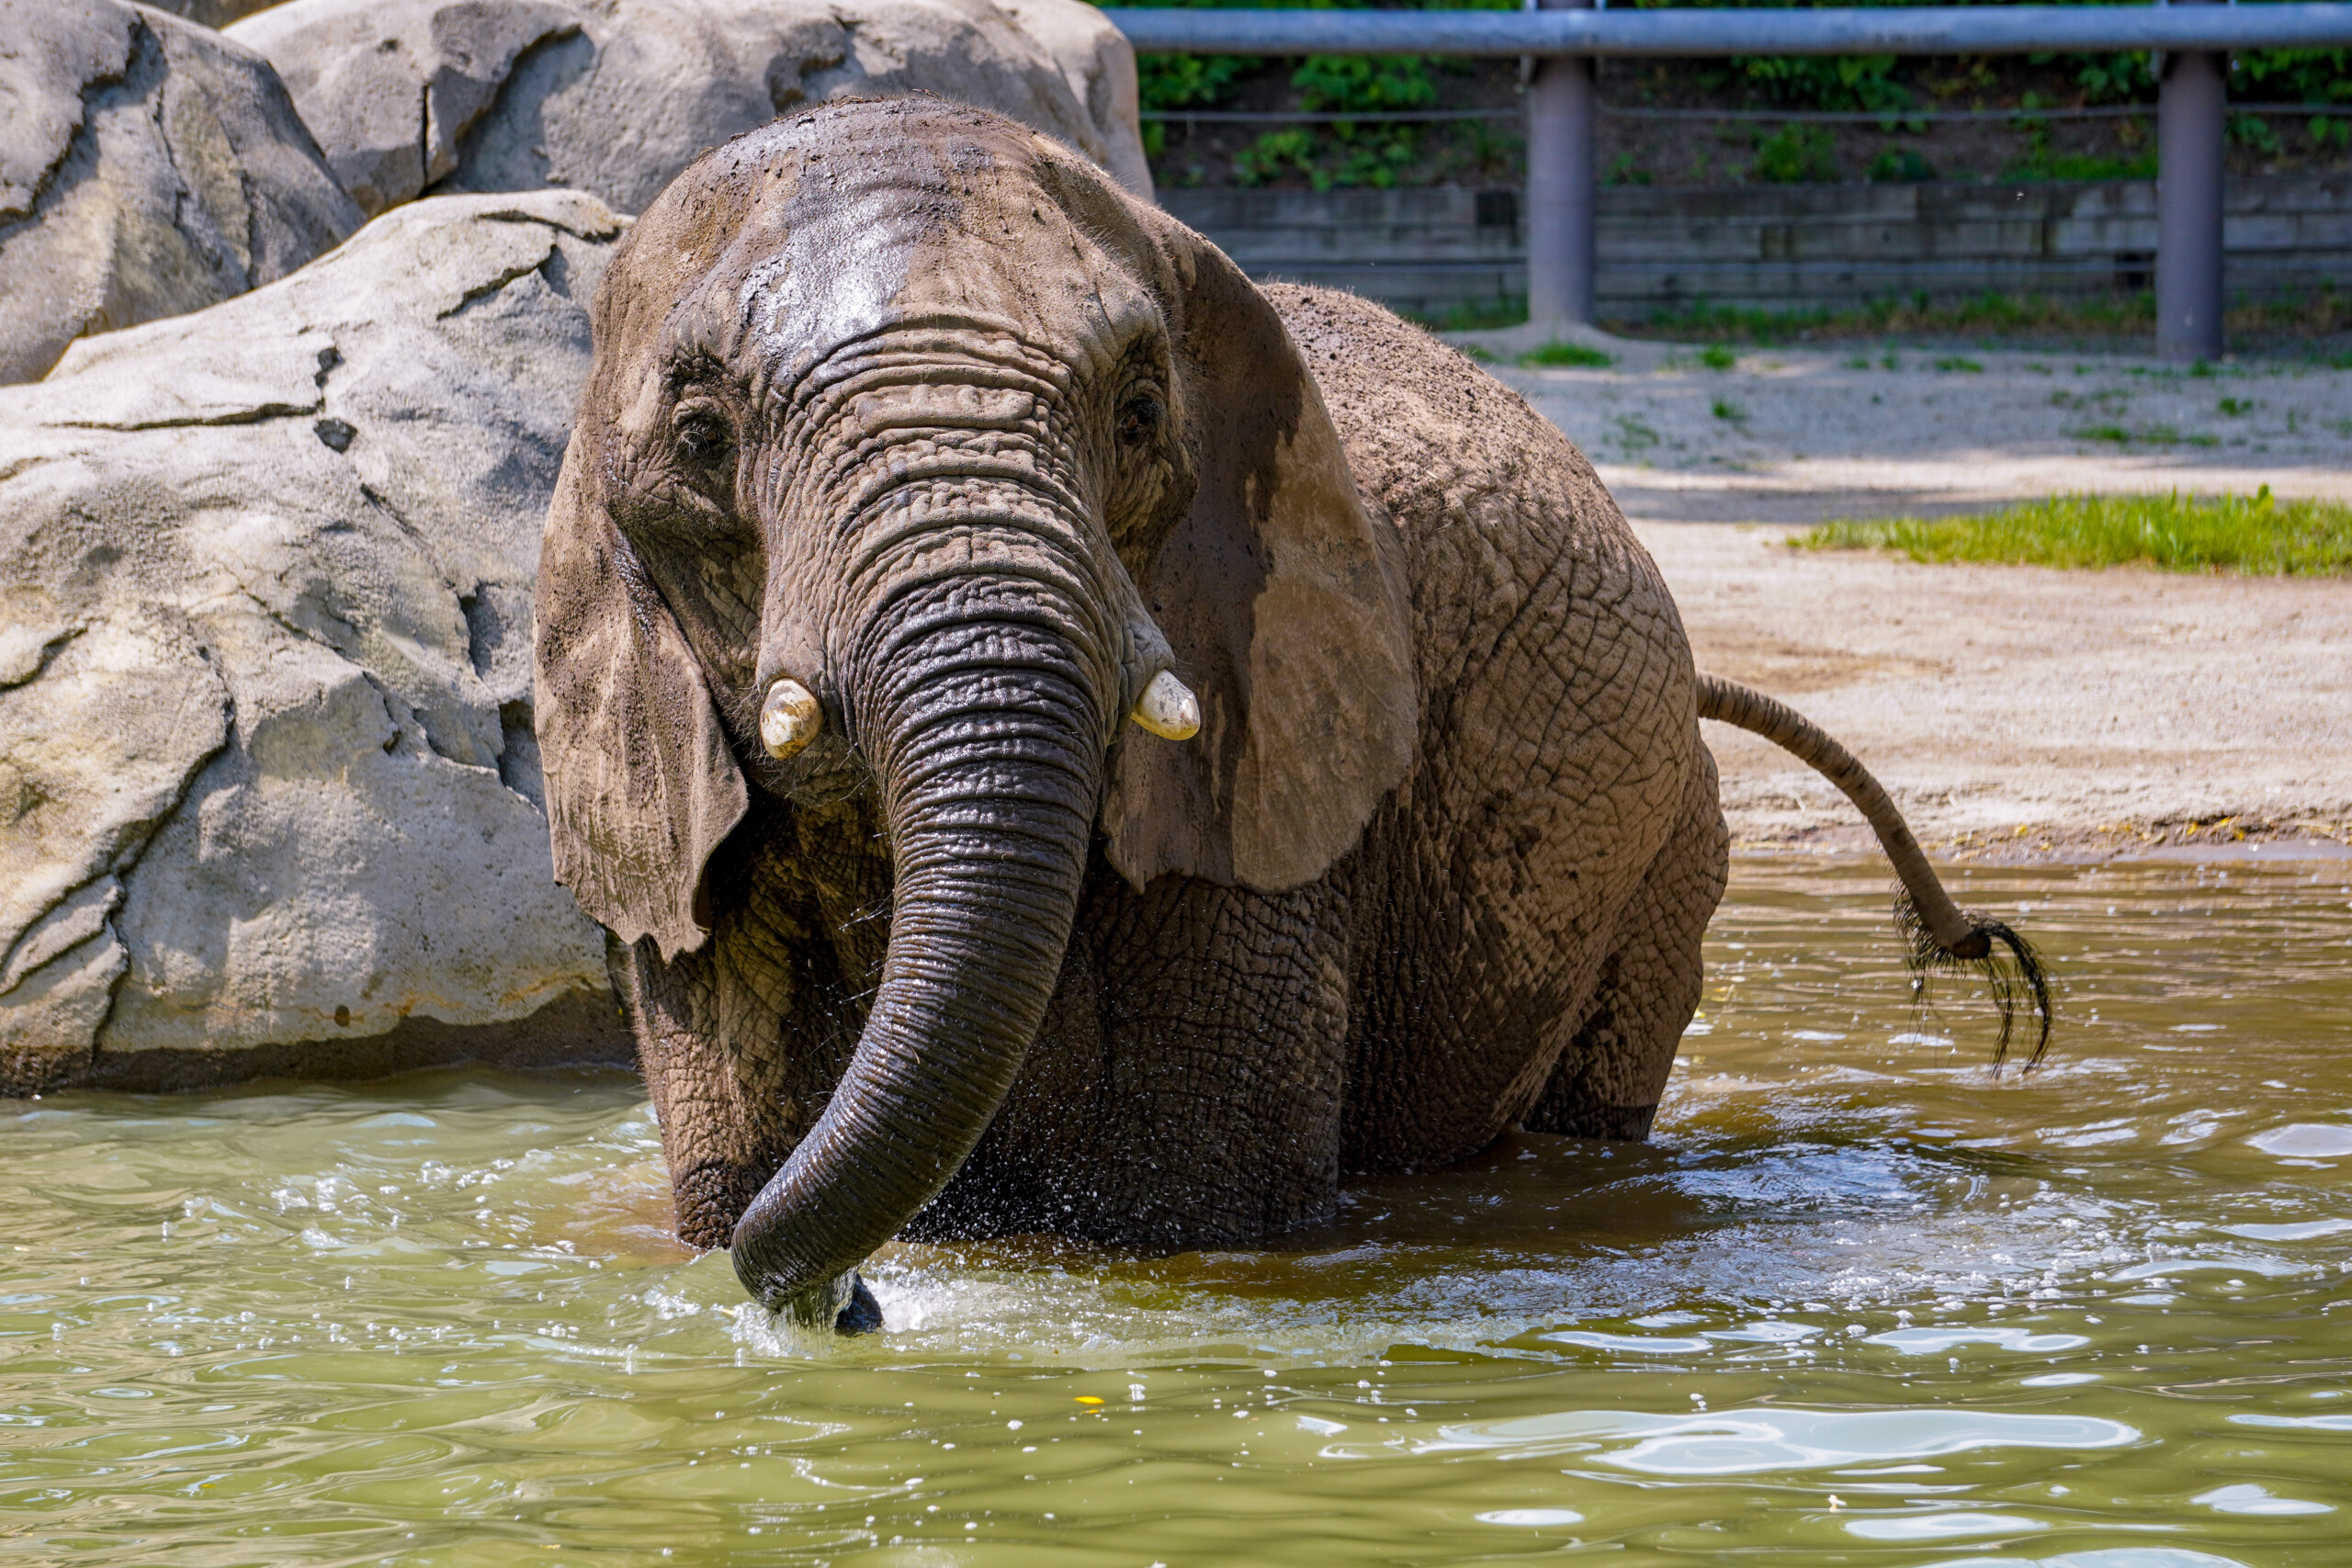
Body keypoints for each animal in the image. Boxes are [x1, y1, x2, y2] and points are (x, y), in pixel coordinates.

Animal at [533, 97, 2046, 1332]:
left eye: (1140, 412)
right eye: (702, 438)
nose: (857, 1302)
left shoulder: (1277, 767)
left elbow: (1199, 1197)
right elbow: (724, 1156)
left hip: (1665, 854)